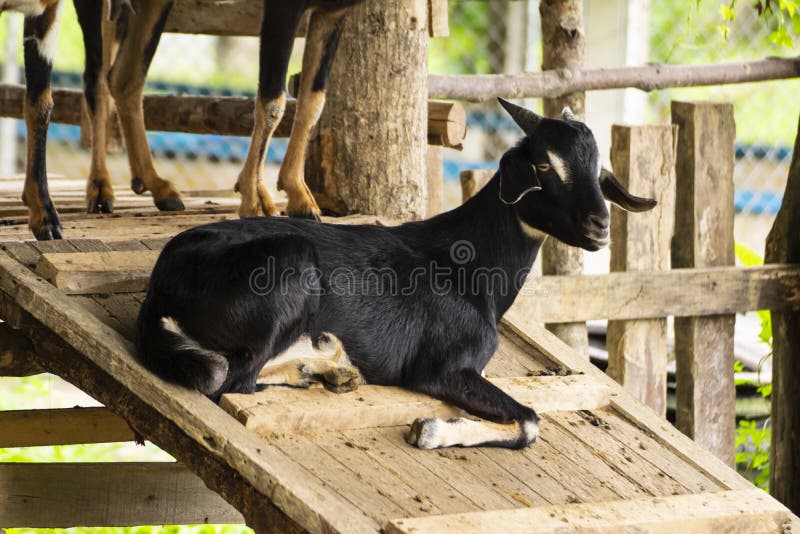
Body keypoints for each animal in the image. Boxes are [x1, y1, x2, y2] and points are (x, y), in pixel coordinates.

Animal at [136, 99, 657, 449]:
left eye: (598, 167)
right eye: (545, 165)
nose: (600, 225)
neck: (471, 266)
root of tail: (162, 285)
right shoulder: (442, 366)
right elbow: (530, 421)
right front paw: (431, 430)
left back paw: (329, 365)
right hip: (290, 266)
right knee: (232, 378)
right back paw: (324, 366)